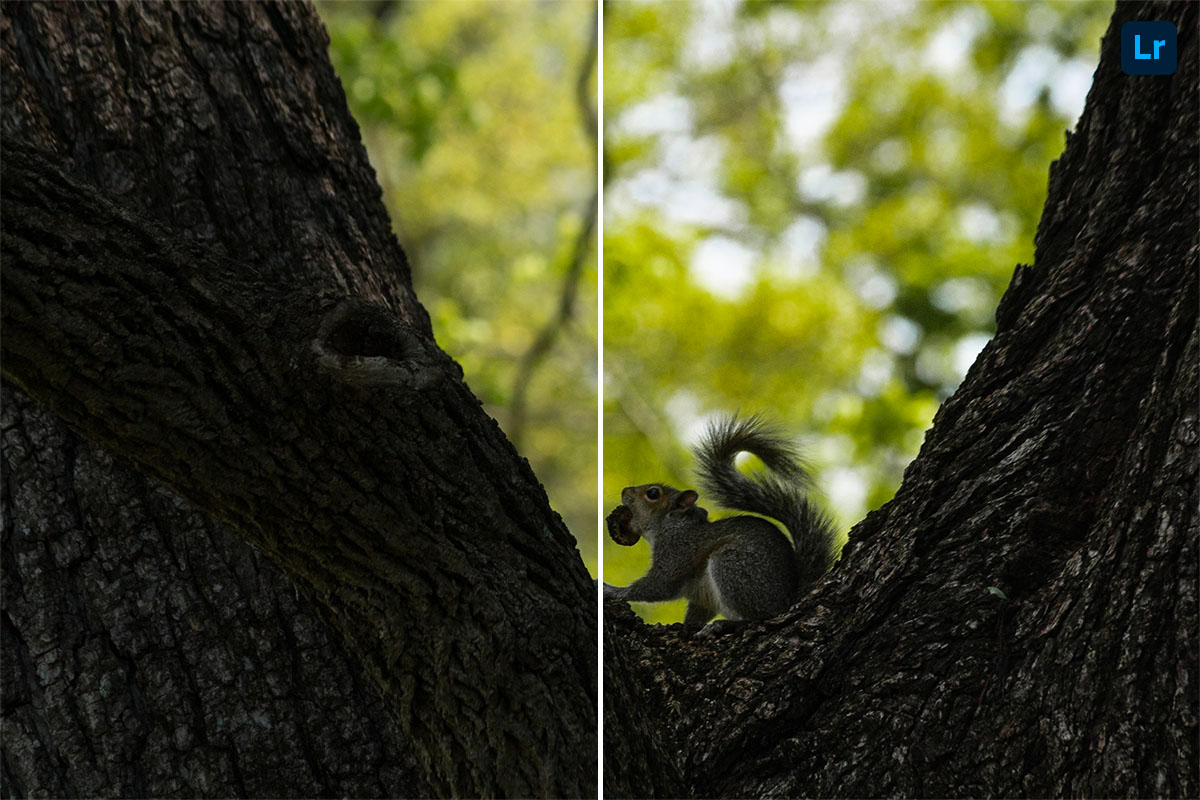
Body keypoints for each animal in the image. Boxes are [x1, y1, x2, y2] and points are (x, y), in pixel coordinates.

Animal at [604, 413, 839, 637]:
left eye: (653, 493)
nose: (625, 491)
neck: (670, 526)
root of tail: (787, 600)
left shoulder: (677, 551)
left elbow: (658, 585)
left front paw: (612, 590)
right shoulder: (700, 598)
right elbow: (697, 611)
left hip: (731, 565)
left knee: (759, 617)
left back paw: (724, 625)